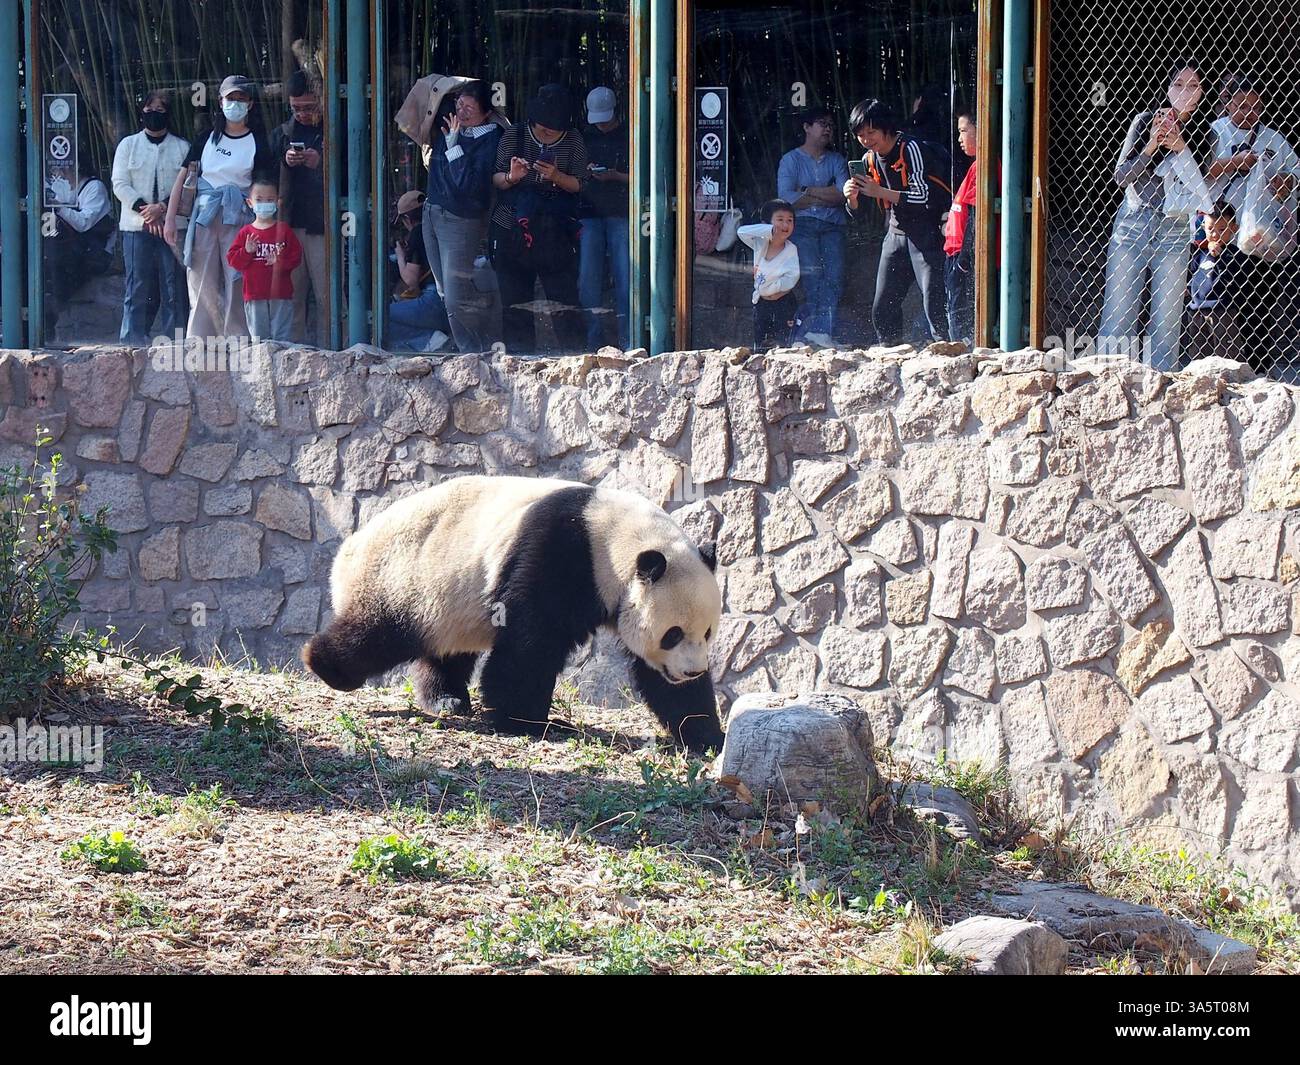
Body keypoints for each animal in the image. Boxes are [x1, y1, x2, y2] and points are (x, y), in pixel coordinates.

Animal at [303, 476, 725, 754]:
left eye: (706, 633)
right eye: (672, 633)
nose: (692, 671)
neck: (617, 540)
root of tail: (350, 546)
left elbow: (659, 681)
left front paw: (707, 737)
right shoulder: (562, 551)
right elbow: (531, 640)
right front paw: (524, 719)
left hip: (447, 602)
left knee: (446, 651)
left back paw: (447, 699)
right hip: (402, 577)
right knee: (378, 633)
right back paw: (326, 665)